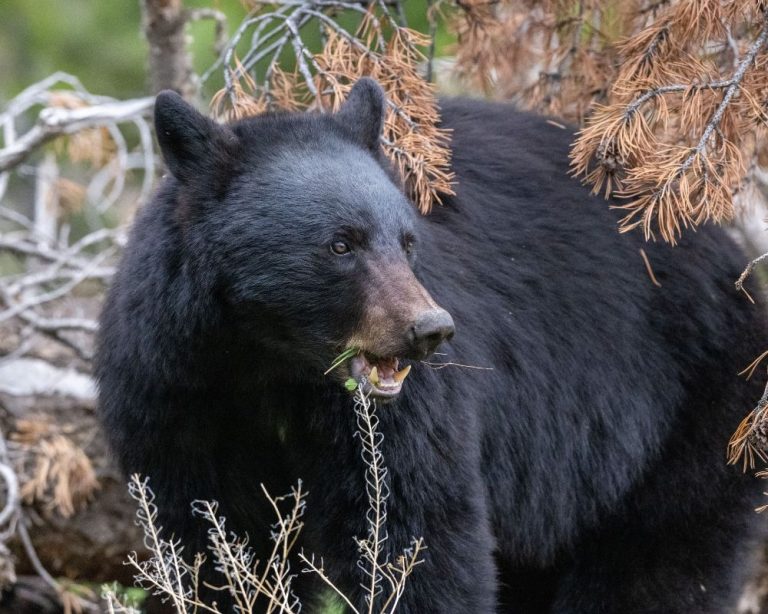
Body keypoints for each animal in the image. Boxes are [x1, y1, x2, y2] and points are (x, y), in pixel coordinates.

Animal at [96, 77, 768, 613]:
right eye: (341, 244)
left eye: (408, 240)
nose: (431, 329)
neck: (268, 366)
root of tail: (732, 259)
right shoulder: (173, 390)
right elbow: (208, 541)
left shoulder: (405, 415)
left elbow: (415, 532)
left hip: (691, 413)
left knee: (659, 561)